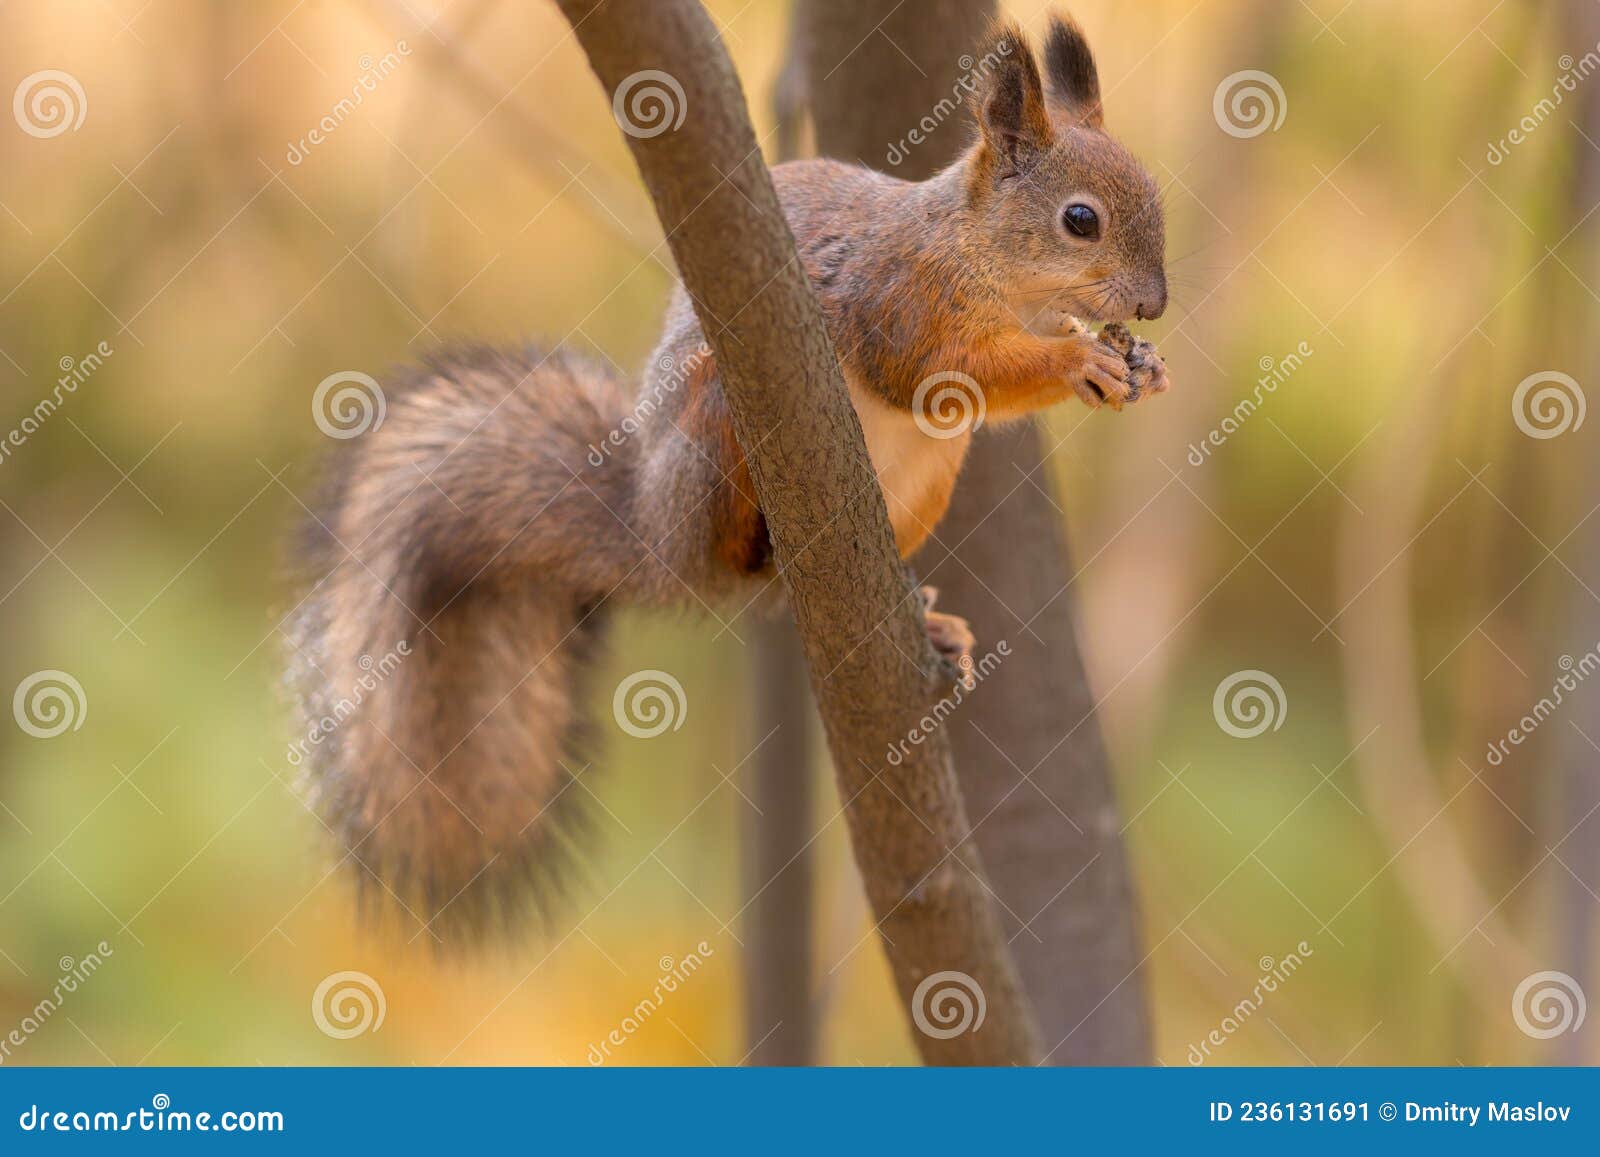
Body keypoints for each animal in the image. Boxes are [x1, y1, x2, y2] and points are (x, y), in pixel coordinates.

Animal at [285, 13, 1169, 939]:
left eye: (1155, 193)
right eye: (1080, 220)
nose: (1154, 304)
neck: (985, 260)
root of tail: (657, 536)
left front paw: (1137, 364)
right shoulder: (901, 300)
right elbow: (935, 374)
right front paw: (1081, 361)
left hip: (930, 482)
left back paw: (930, 622)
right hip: (719, 421)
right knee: (746, 560)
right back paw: (768, 543)